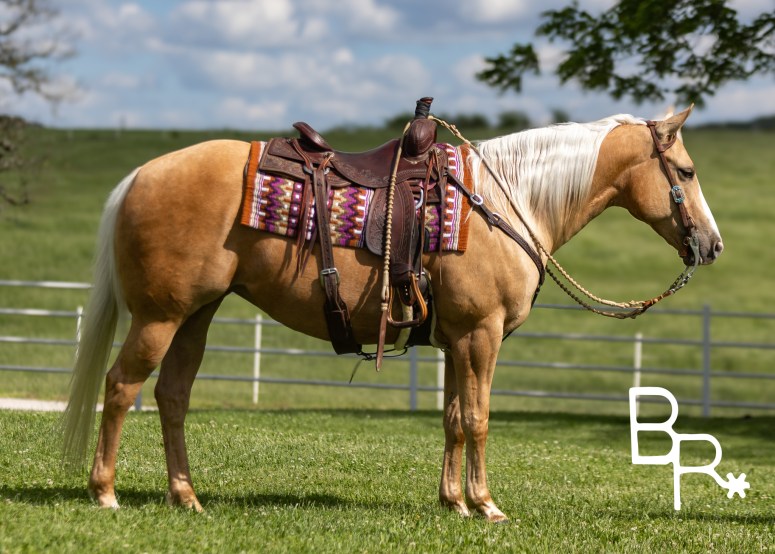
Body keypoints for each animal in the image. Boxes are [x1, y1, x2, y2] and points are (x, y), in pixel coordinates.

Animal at [62, 106, 722, 523]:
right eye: (687, 172)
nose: (711, 245)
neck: (506, 201)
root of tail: (141, 174)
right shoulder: (481, 336)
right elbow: (479, 418)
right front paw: (486, 506)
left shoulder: (457, 341)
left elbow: (454, 419)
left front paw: (453, 502)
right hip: (159, 317)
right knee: (121, 387)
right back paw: (105, 493)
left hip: (195, 317)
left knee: (171, 396)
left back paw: (186, 497)